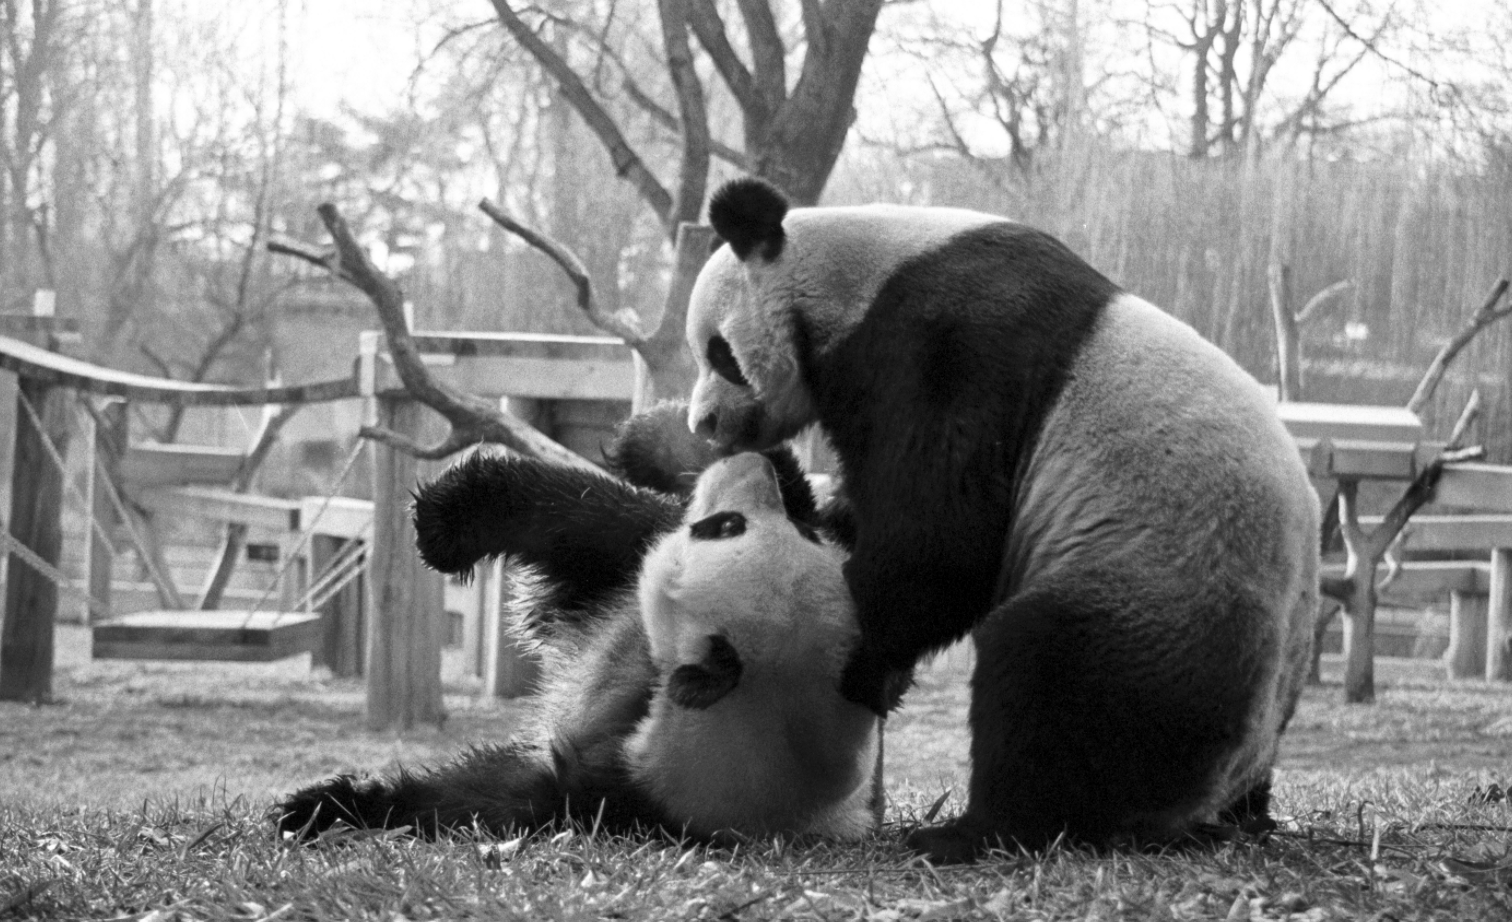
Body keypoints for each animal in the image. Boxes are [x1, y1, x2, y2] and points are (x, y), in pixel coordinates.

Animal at [275, 441, 880, 844]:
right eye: (802, 533)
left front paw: (333, 806)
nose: (759, 468)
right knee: (589, 517)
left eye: (728, 526)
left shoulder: (621, 791)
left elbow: (489, 797)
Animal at [684, 177, 1321, 863]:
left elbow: (944, 538)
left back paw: (971, 832)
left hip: (1157, 602)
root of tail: (1215, 788)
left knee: (1052, 688)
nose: (704, 424)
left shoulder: (948, 346)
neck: (856, 275)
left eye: (719, 354)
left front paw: (863, 659)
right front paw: (820, 508)